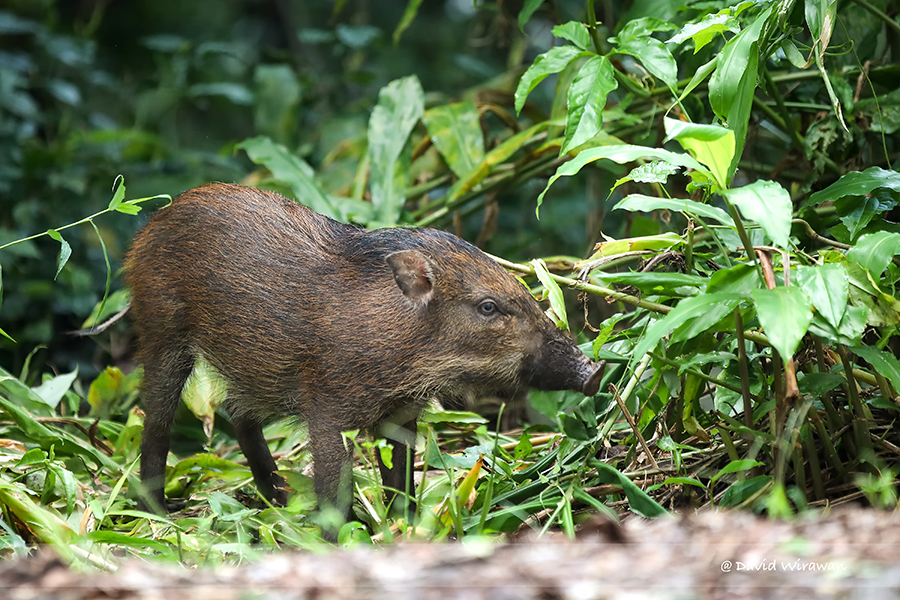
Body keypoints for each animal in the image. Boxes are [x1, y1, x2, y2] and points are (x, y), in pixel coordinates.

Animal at [126, 183, 604, 536]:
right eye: (488, 307)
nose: (595, 371)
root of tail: (158, 217)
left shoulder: (402, 412)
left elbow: (401, 478)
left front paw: (403, 524)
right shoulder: (327, 409)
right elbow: (334, 483)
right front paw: (338, 537)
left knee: (236, 413)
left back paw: (278, 498)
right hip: (163, 332)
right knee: (157, 420)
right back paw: (159, 510)